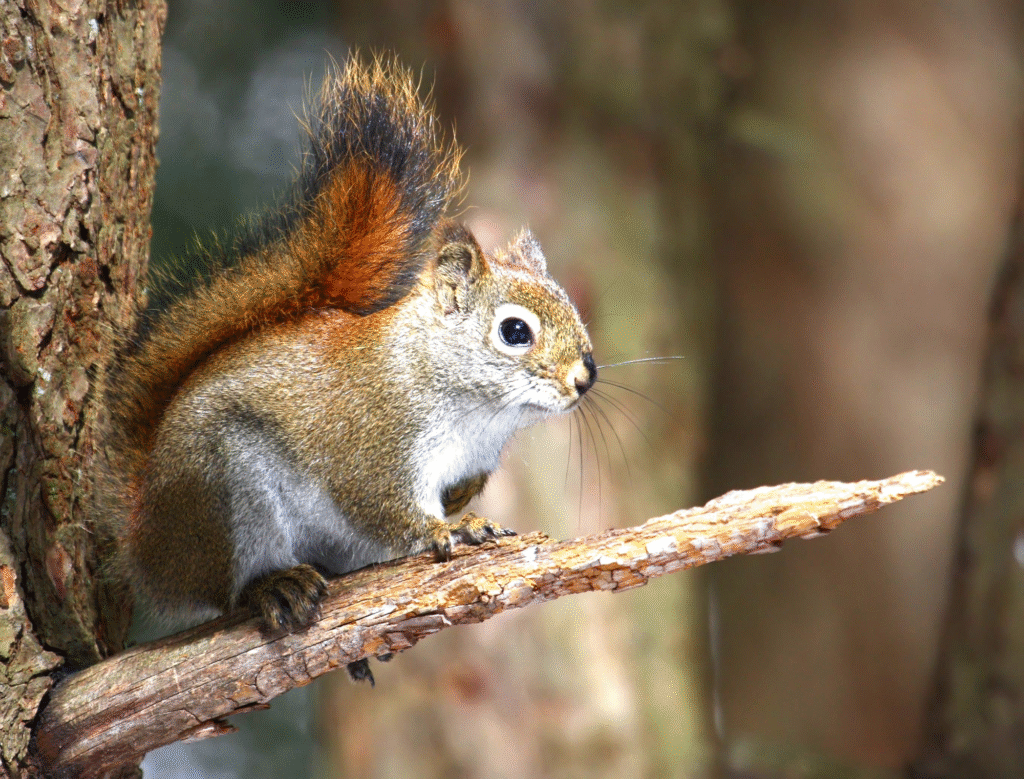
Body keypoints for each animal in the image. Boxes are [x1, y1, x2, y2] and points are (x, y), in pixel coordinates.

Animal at [103, 56, 596, 664]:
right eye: (514, 331)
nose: (585, 377)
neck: (477, 410)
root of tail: (146, 542)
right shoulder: (373, 441)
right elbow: (381, 504)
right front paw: (448, 530)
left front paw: (463, 504)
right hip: (224, 491)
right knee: (227, 589)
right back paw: (273, 585)